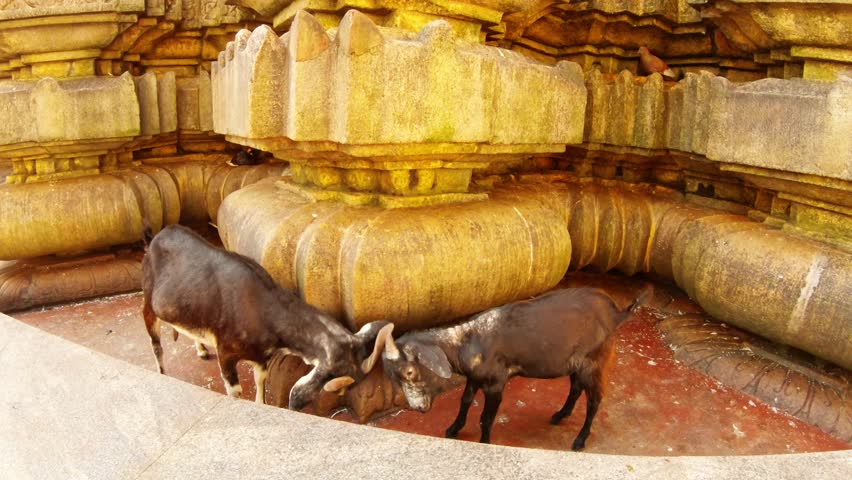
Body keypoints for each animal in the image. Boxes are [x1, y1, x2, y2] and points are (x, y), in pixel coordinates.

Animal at [142, 224, 394, 410]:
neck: (264, 309)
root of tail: (155, 236)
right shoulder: (226, 353)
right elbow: (235, 391)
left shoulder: (262, 357)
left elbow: (260, 381)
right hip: (148, 304)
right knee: (156, 344)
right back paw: (162, 373)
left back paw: (202, 350)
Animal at [381, 286, 652, 451]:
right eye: (392, 376)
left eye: (409, 372)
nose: (416, 408)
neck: (468, 340)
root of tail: (616, 313)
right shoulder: (475, 377)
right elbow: (465, 400)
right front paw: (453, 428)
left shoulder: (496, 383)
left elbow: (486, 419)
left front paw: (484, 443)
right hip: (577, 363)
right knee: (575, 388)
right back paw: (559, 415)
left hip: (595, 362)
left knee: (595, 400)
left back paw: (579, 440)